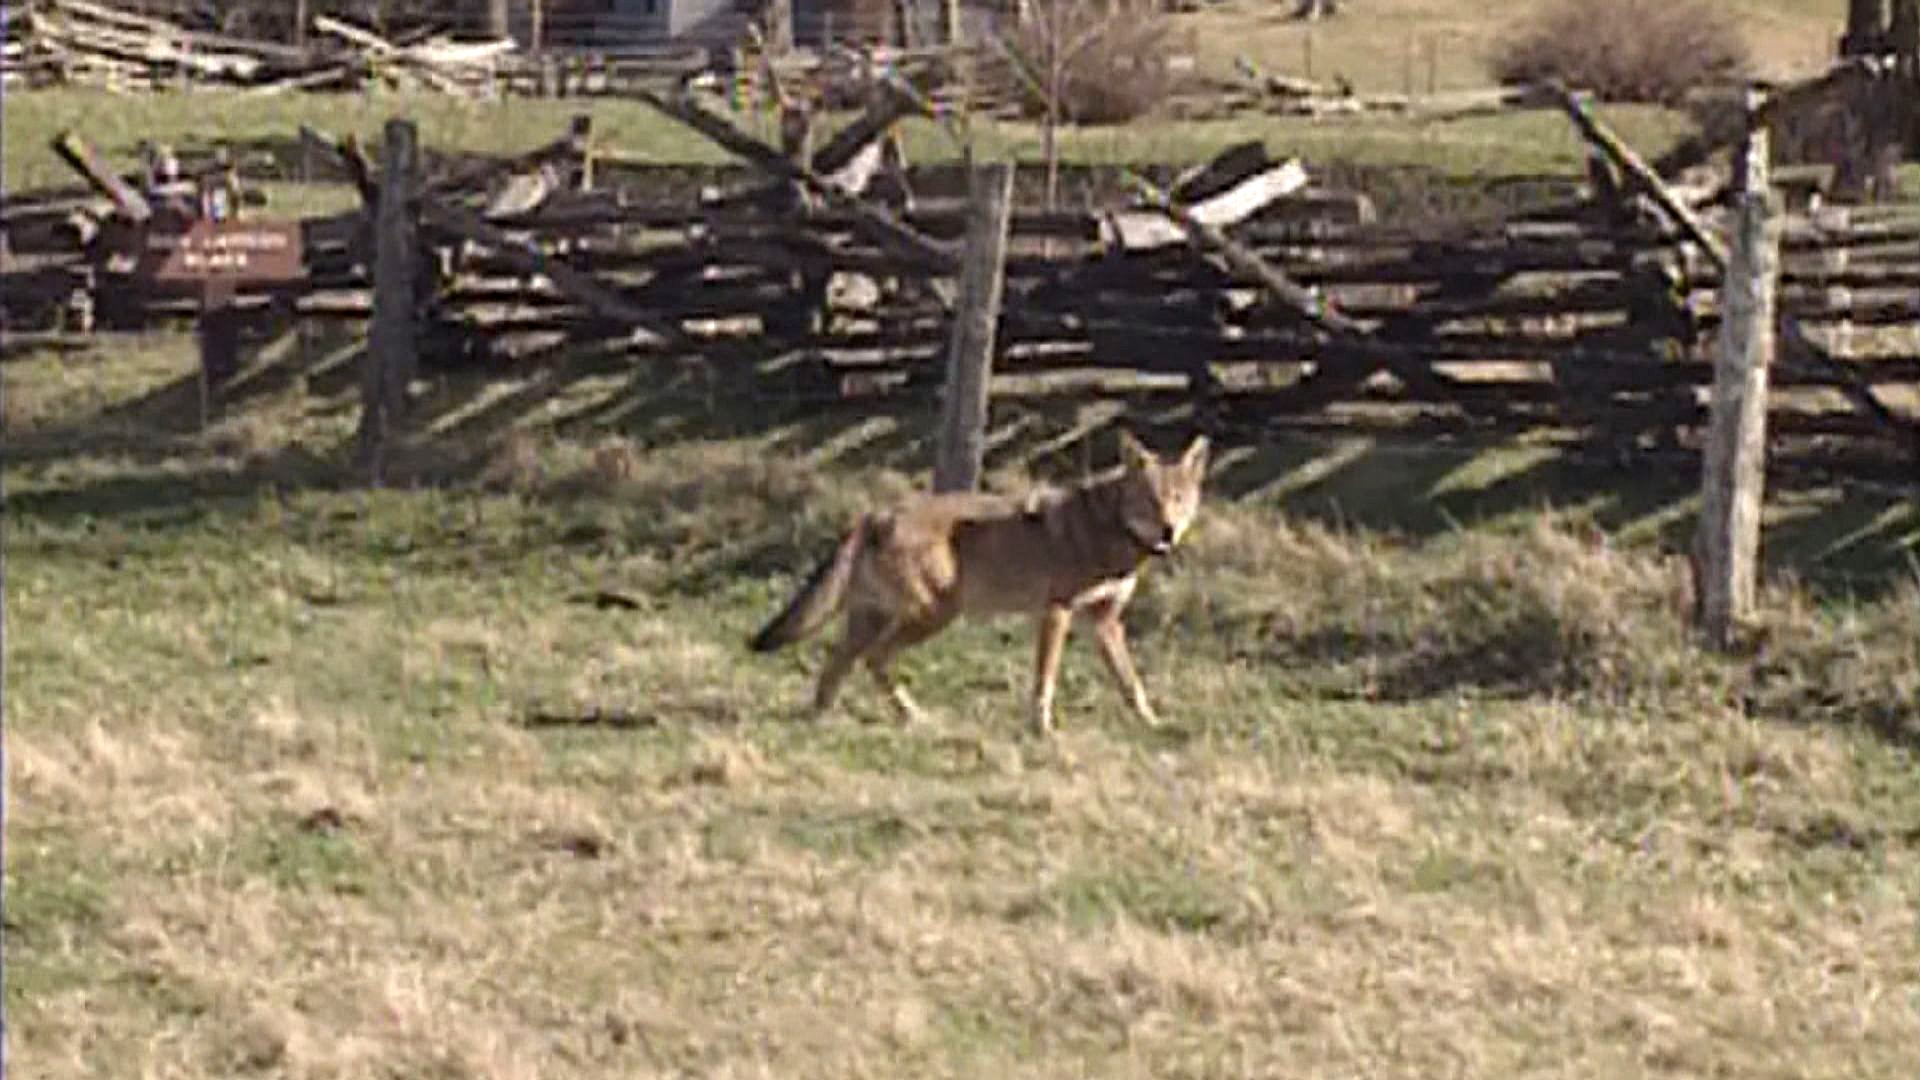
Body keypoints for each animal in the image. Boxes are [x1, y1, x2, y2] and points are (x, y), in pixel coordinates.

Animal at [748, 431, 1209, 736]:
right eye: (1150, 501)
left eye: (1178, 500)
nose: (1168, 531)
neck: (1108, 529)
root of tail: (876, 514)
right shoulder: (1056, 613)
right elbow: (1044, 682)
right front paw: (1042, 730)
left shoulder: (1105, 623)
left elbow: (1132, 684)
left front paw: (1151, 722)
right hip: (933, 617)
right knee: (871, 660)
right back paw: (905, 716)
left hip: (877, 620)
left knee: (837, 665)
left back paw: (826, 720)